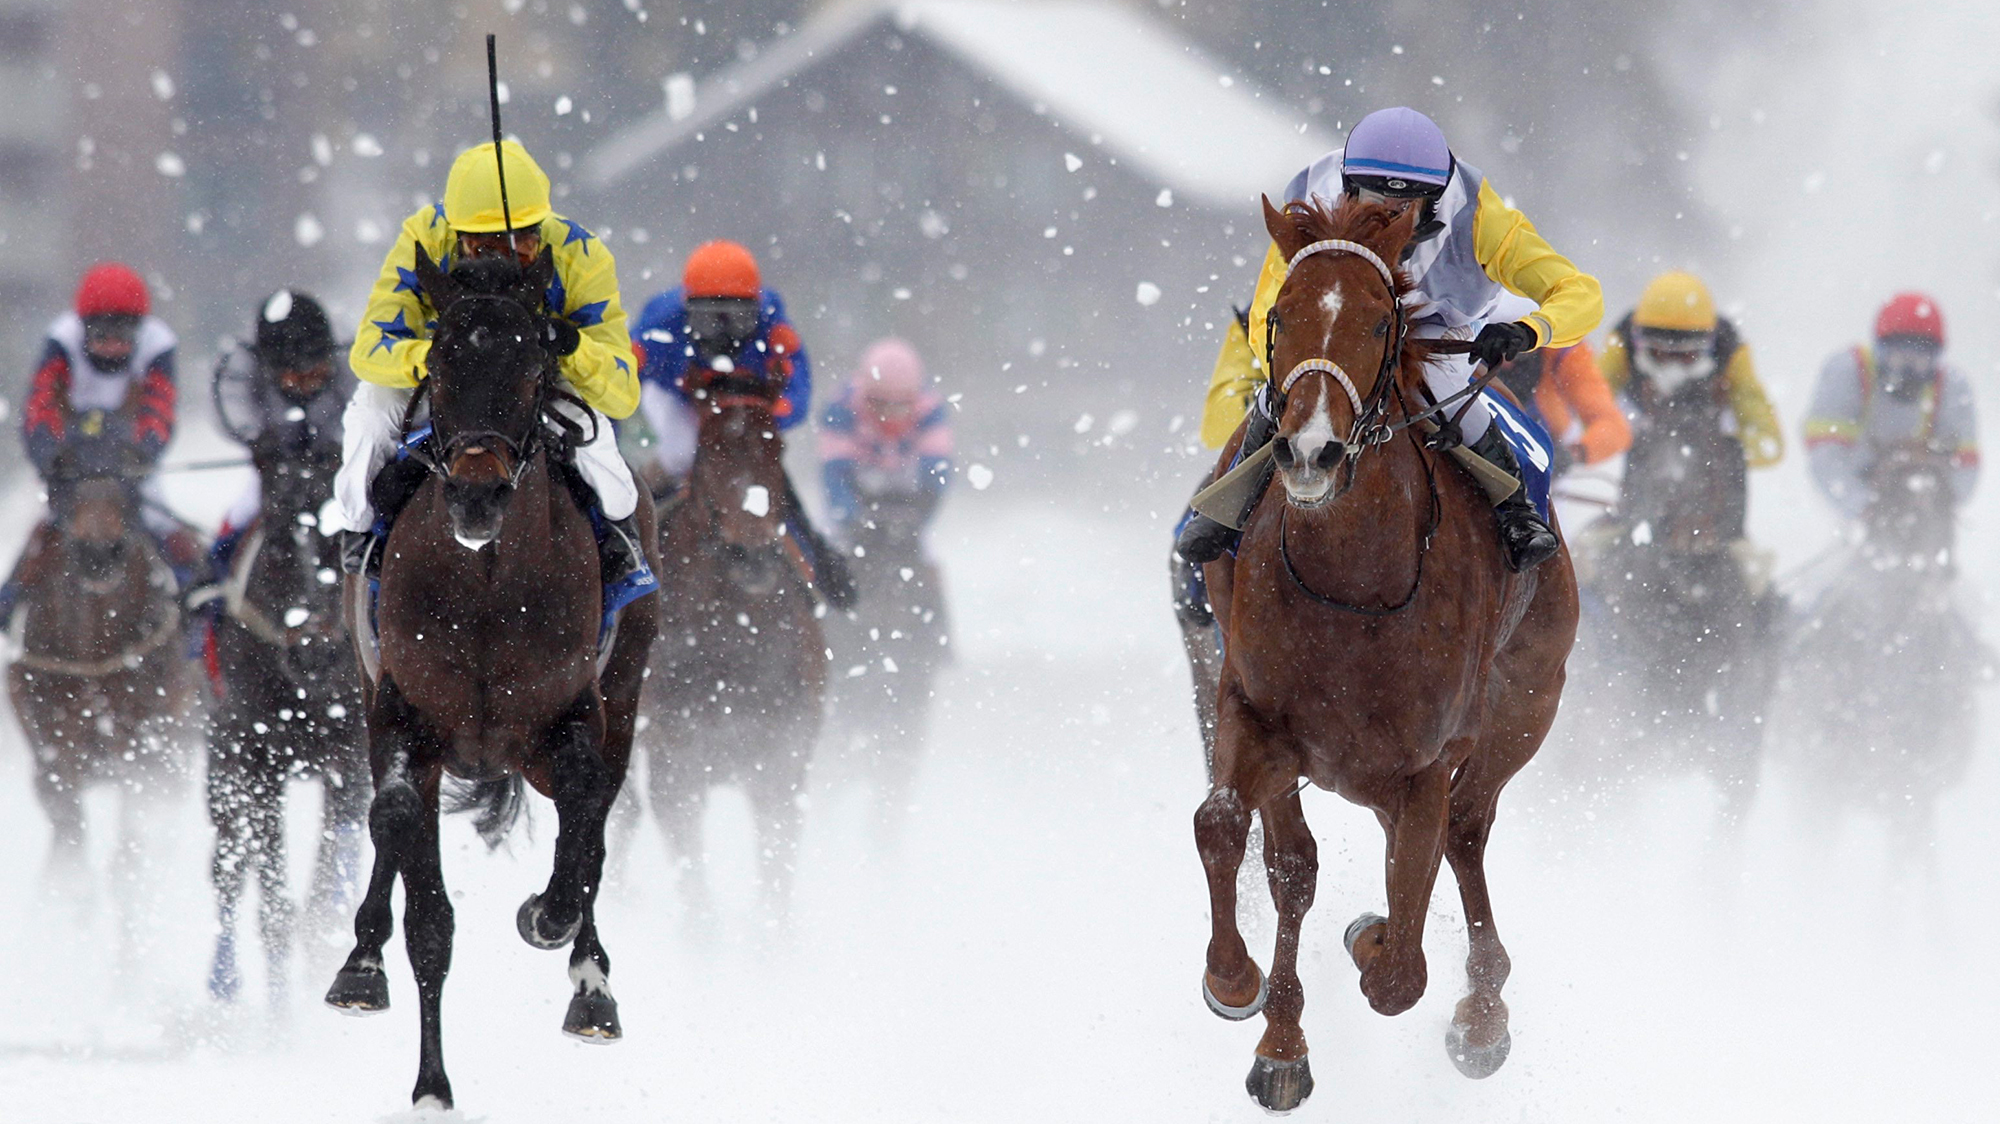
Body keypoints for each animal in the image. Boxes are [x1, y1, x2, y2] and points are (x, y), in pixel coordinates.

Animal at [5, 443, 195, 929]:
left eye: (128, 477)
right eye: (64, 480)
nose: (99, 552)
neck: (95, 645)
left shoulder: (145, 749)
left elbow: (129, 856)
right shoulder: (55, 750)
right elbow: (69, 835)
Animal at [204, 431, 368, 1009]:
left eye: (341, 538)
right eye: (276, 544)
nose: (314, 651)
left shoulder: (350, 759)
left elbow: (326, 887)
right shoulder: (259, 764)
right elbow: (272, 905)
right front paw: (281, 1018)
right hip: (222, 771)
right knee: (228, 867)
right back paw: (223, 981)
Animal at [322, 247, 659, 1110]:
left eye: (534, 363)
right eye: (438, 360)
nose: (476, 493)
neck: (483, 587)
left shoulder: (569, 717)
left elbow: (583, 819)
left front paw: (549, 919)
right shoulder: (406, 717)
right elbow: (420, 894)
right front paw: (431, 1087)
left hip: (624, 692)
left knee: (597, 819)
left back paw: (591, 985)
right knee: (391, 828)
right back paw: (360, 965)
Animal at [644, 361, 826, 925]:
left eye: (778, 449)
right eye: (708, 449)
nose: (751, 555)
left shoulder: (782, 758)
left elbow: (776, 874)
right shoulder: (674, 761)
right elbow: (693, 885)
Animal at [1189, 197, 1579, 1112]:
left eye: (1377, 320)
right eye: (1279, 316)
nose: (1309, 452)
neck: (1353, 584)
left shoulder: (1424, 763)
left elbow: (1399, 970)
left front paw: (1373, 939)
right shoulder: (1252, 707)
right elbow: (1229, 829)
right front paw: (1237, 987)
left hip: (1525, 709)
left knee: (1465, 835)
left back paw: (1481, 1014)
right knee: (1298, 861)